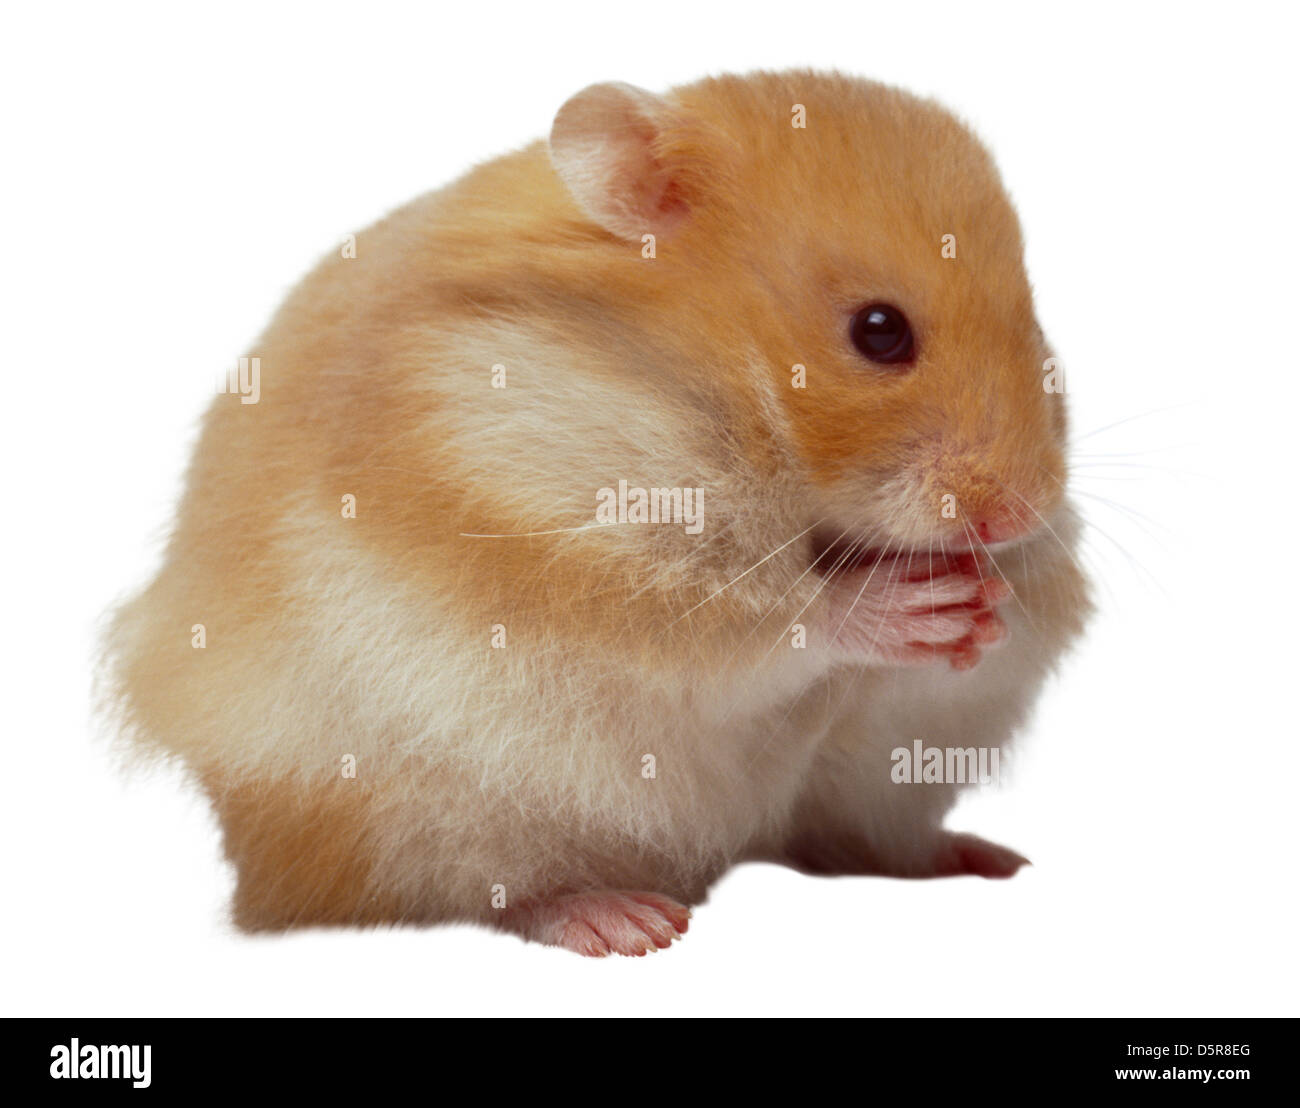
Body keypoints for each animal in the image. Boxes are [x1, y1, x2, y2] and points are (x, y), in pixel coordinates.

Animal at [104, 70, 1091, 956]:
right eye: (879, 331)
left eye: (1039, 331)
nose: (1016, 514)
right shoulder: (597, 548)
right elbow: (777, 622)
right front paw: (915, 604)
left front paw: (992, 607)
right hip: (425, 804)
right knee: (488, 887)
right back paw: (628, 923)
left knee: (862, 839)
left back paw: (986, 858)